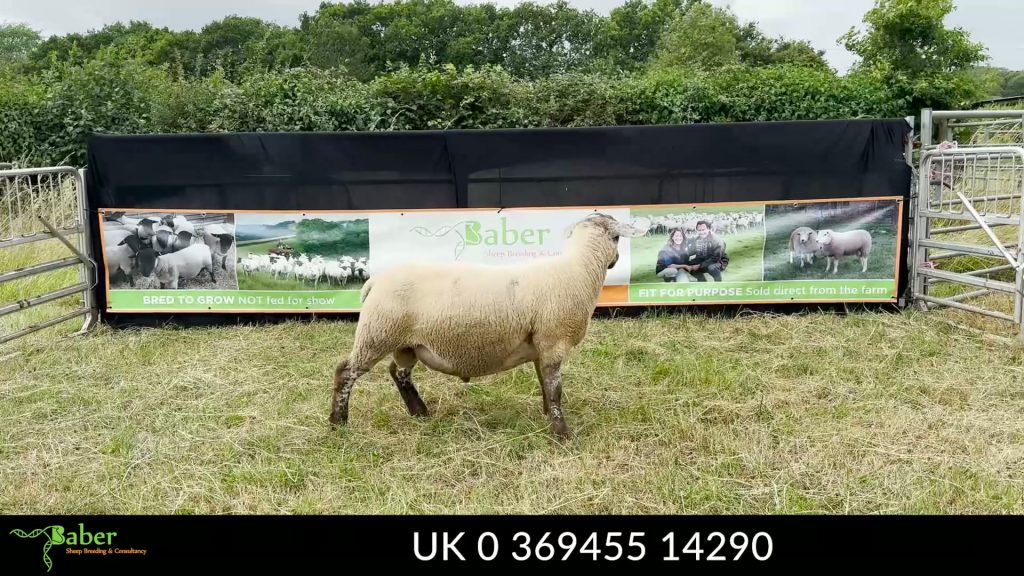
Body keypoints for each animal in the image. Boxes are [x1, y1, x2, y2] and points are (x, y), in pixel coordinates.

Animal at [328, 212, 650, 440]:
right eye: (618, 239)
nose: (616, 260)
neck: (577, 271)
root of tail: (374, 281)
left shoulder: (540, 345)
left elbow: (544, 383)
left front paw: (548, 416)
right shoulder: (553, 340)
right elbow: (555, 387)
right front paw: (562, 434)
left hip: (406, 342)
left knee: (398, 372)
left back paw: (419, 413)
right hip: (378, 332)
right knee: (346, 371)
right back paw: (338, 423)